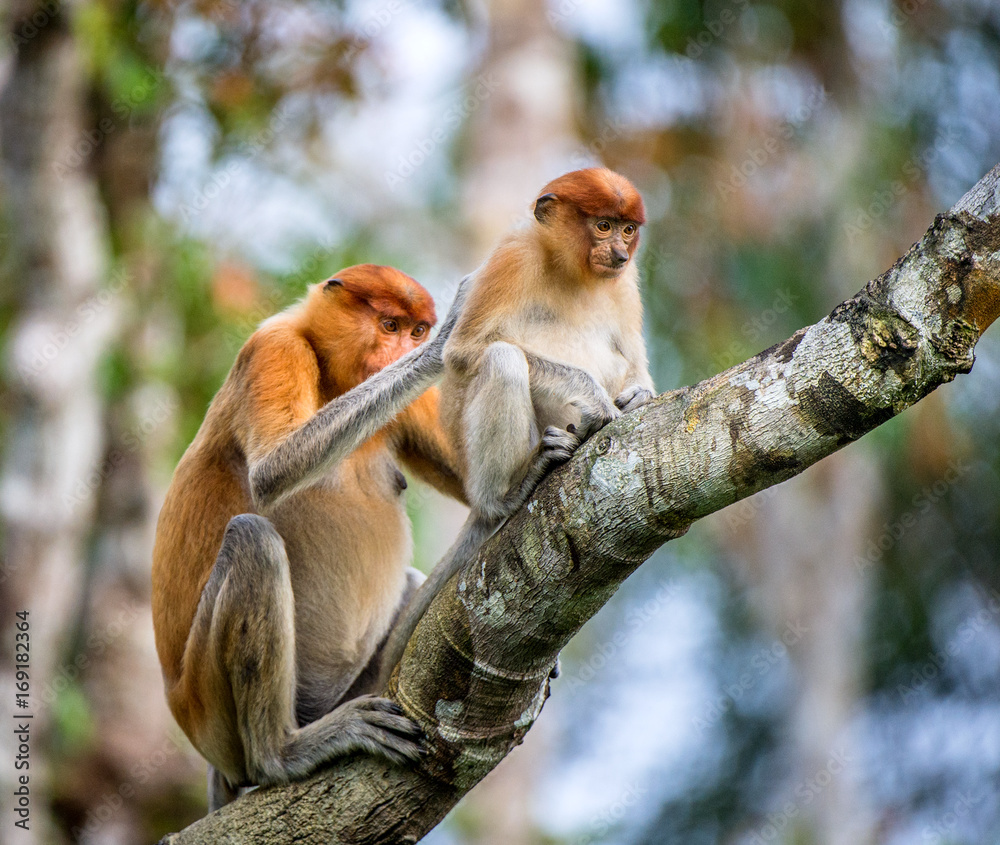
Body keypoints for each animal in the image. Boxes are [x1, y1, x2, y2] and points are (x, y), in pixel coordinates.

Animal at [151, 264, 469, 811]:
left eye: (415, 331)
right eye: (390, 326)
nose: (405, 351)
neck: (328, 370)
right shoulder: (275, 349)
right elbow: (275, 469)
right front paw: (446, 343)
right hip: (208, 710)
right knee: (253, 539)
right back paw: (280, 754)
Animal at [377, 167, 654, 689]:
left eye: (628, 229)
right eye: (603, 226)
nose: (620, 253)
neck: (572, 270)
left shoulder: (626, 284)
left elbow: (633, 362)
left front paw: (637, 398)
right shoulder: (513, 256)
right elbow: (466, 350)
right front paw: (595, 399)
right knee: (502, 359)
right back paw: (507, 495)